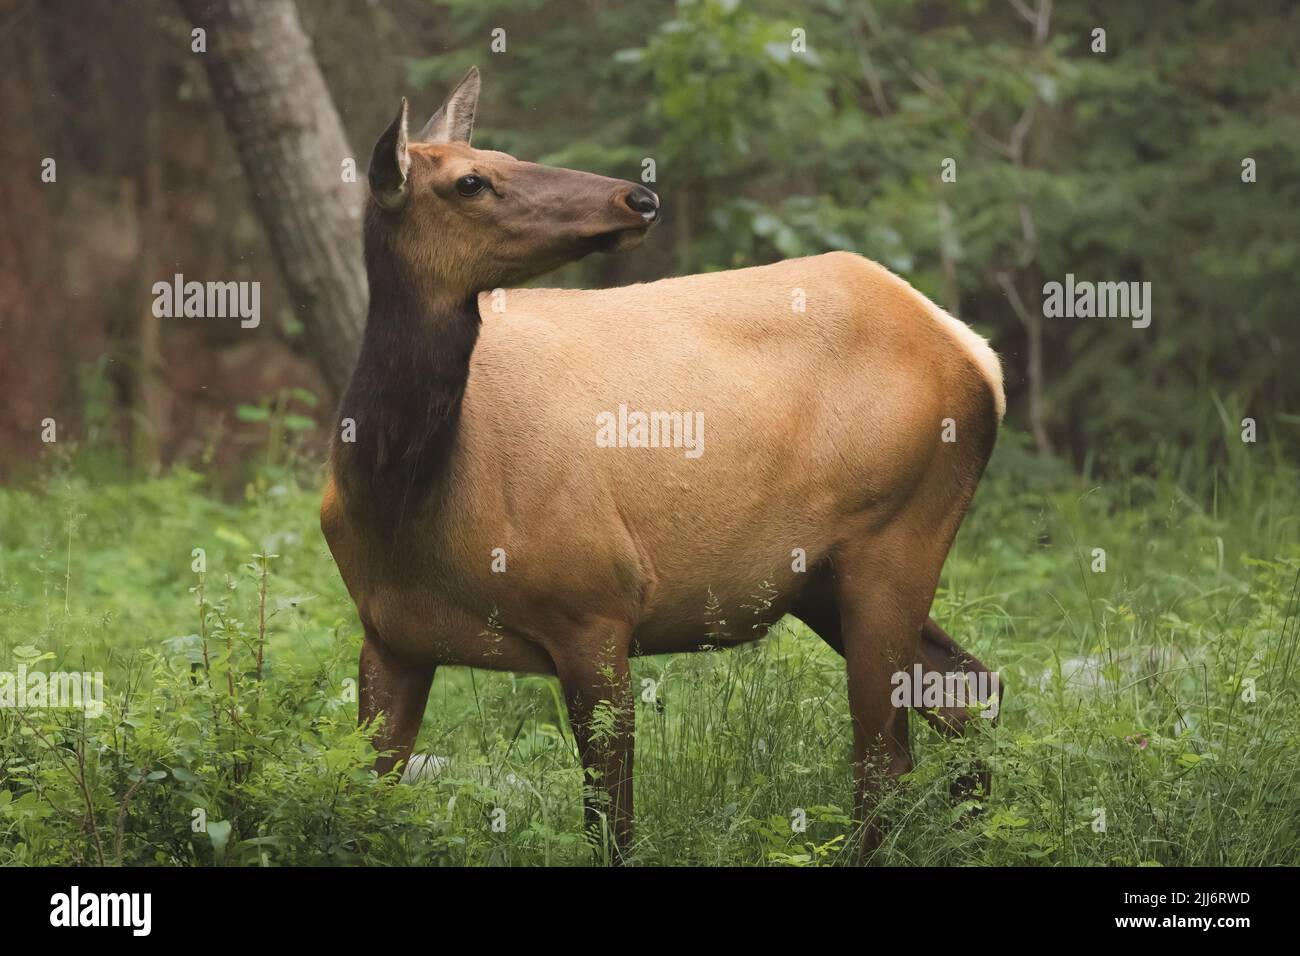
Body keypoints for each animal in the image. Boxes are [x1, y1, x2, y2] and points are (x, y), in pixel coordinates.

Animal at [321, 67, 1005, 862]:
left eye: (501, 156)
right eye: (471, 180)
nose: (637, 197)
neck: (410, 499)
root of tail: (975, 353)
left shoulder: (596, 604)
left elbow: (611, 824)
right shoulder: (389, 635)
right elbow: (365, 803)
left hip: (895, 534)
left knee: (886, 755)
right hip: (824, 577)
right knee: (966, 692)